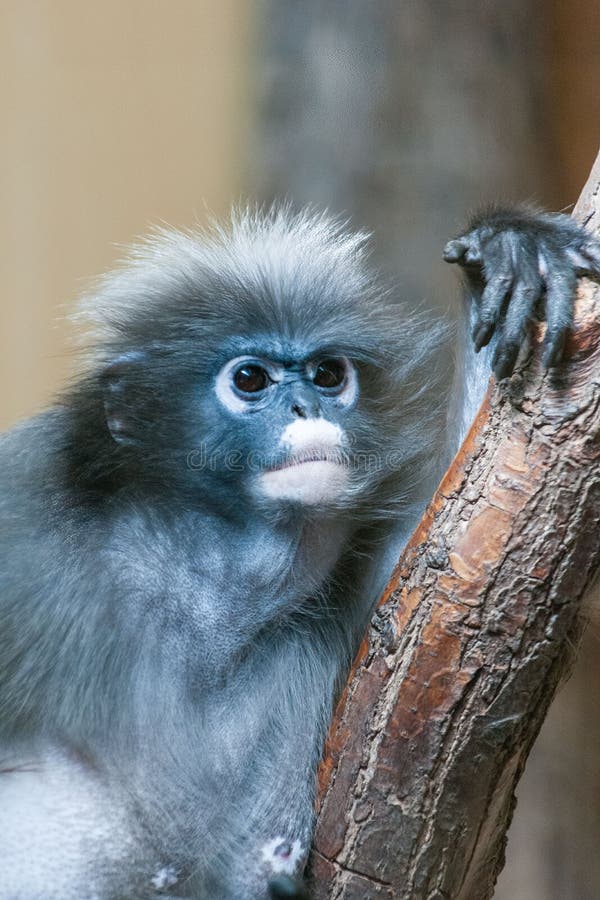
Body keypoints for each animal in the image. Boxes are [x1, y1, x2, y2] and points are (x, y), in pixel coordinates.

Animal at [1, 205, 599, 899]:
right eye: (250, 379)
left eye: (328, 374)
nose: (304, 404)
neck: (209, 567)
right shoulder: (28, 523)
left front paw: (509, 248)